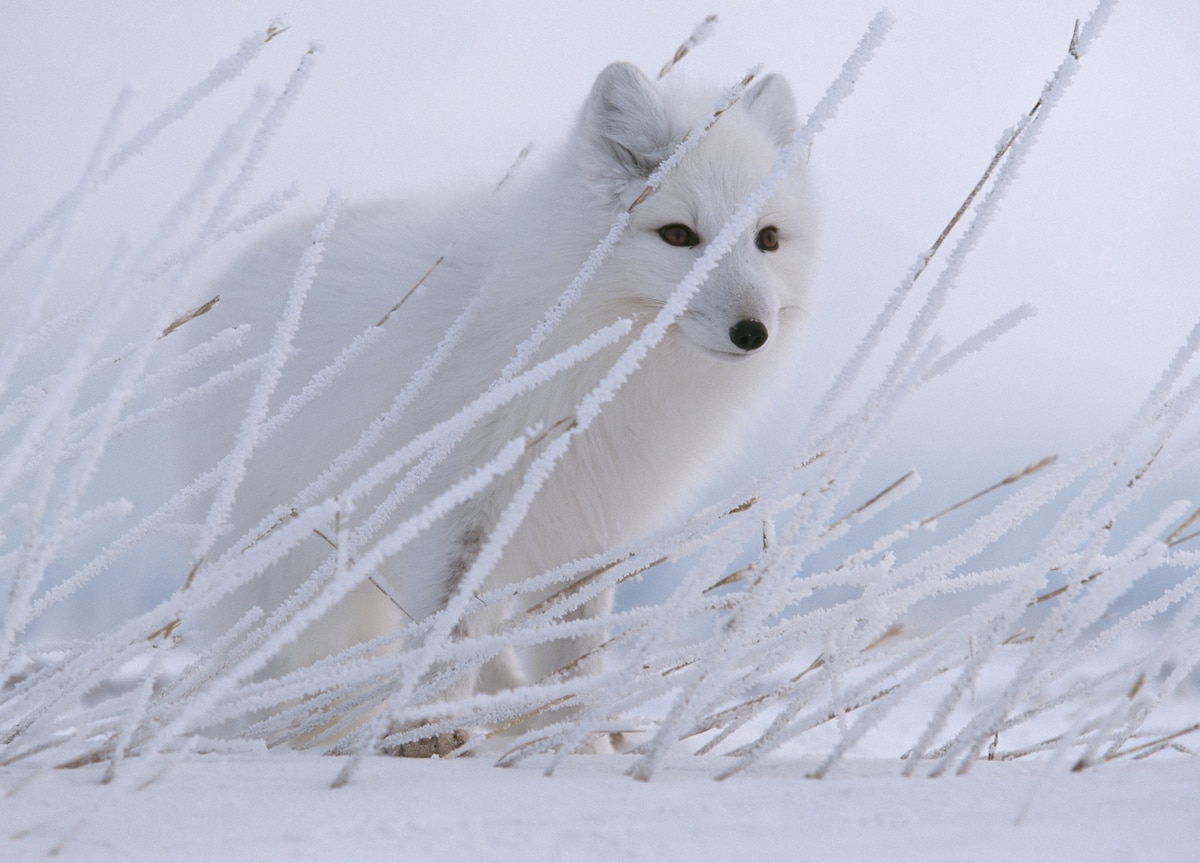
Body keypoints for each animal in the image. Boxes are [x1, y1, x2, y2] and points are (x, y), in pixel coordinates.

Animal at [193, 60, 815, 745]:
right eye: (678, 235)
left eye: (768, 238)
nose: (753, 333)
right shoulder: (454, 518)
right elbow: (444, 648)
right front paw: (431, 738)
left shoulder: (588, 535)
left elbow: (573, 660)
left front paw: (575, 743)